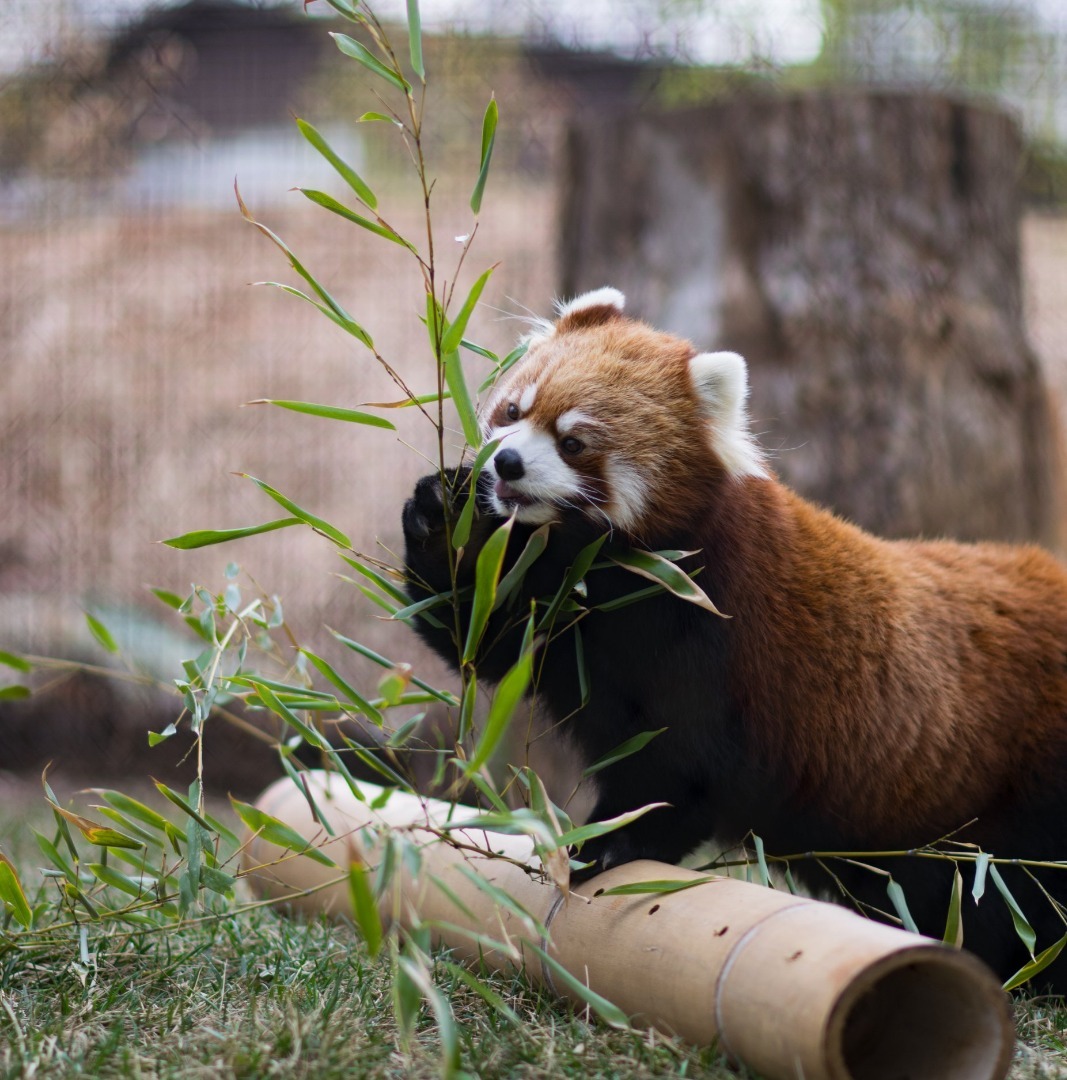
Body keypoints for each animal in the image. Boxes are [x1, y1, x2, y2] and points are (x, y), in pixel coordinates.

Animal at [401, 286, 1067, 989]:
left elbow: (683, 764)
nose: (506, 460)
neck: (617, 577)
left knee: (1011, 896)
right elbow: (482, 638)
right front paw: (442, 512)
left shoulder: (717, 635)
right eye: (513, 409)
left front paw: (612, 840)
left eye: (575, 441)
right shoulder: (559, 612)